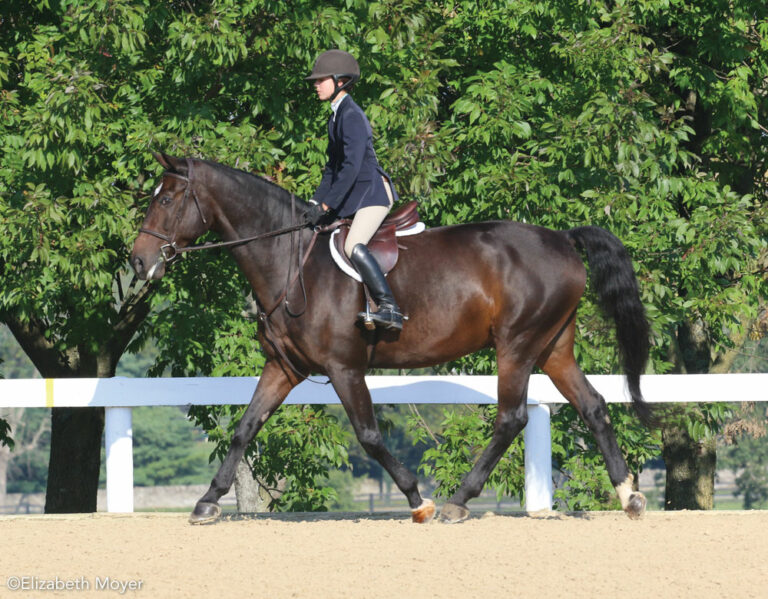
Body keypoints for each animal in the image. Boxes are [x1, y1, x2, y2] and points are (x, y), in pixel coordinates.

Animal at [131, 152, 652, 524]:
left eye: (166, 200)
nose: (139, 262)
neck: (289, 260)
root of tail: (562, 238)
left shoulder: (344, 368)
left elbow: (369, 435)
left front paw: (417, 499)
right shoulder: (284, 368)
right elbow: (244, 428)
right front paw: (207, 501)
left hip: (517, 346)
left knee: (511, 418)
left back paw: (457, 502)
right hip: (552, 347)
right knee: (593, 406)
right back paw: (629, 495)